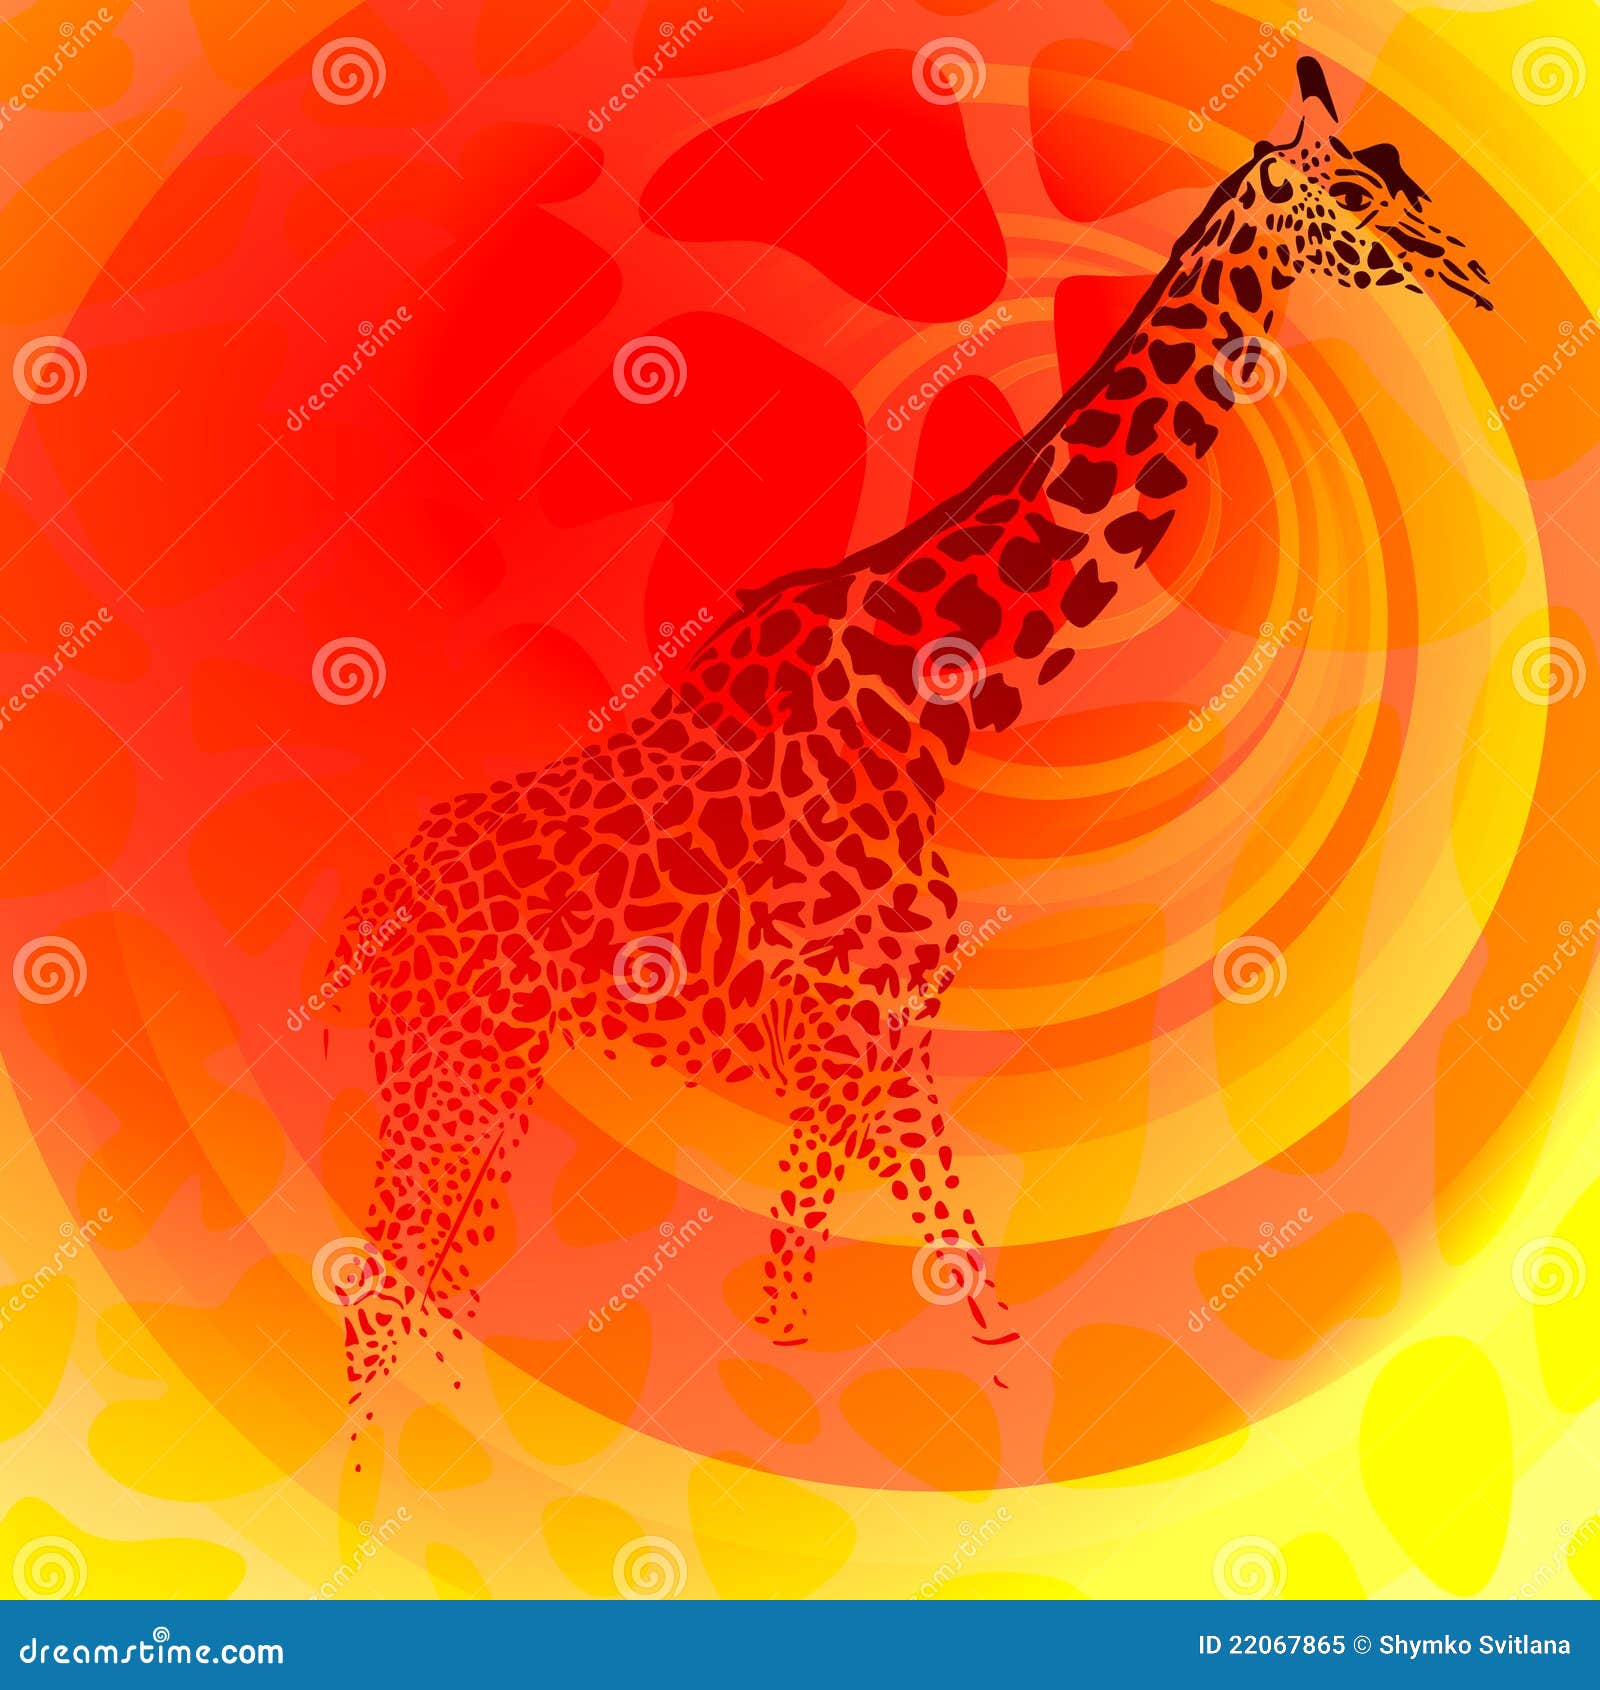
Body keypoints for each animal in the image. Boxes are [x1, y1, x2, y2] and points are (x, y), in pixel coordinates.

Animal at [331, 57, 1491, 1398]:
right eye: (1351, 191)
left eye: (1407, 175)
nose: (1472, 273)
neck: (936, 701)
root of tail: (361, 924)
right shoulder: (838, 1034)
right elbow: (791, 1297)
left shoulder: (892, 1041)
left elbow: (968, 1290)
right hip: (452, 1068)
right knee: (382, 1310)